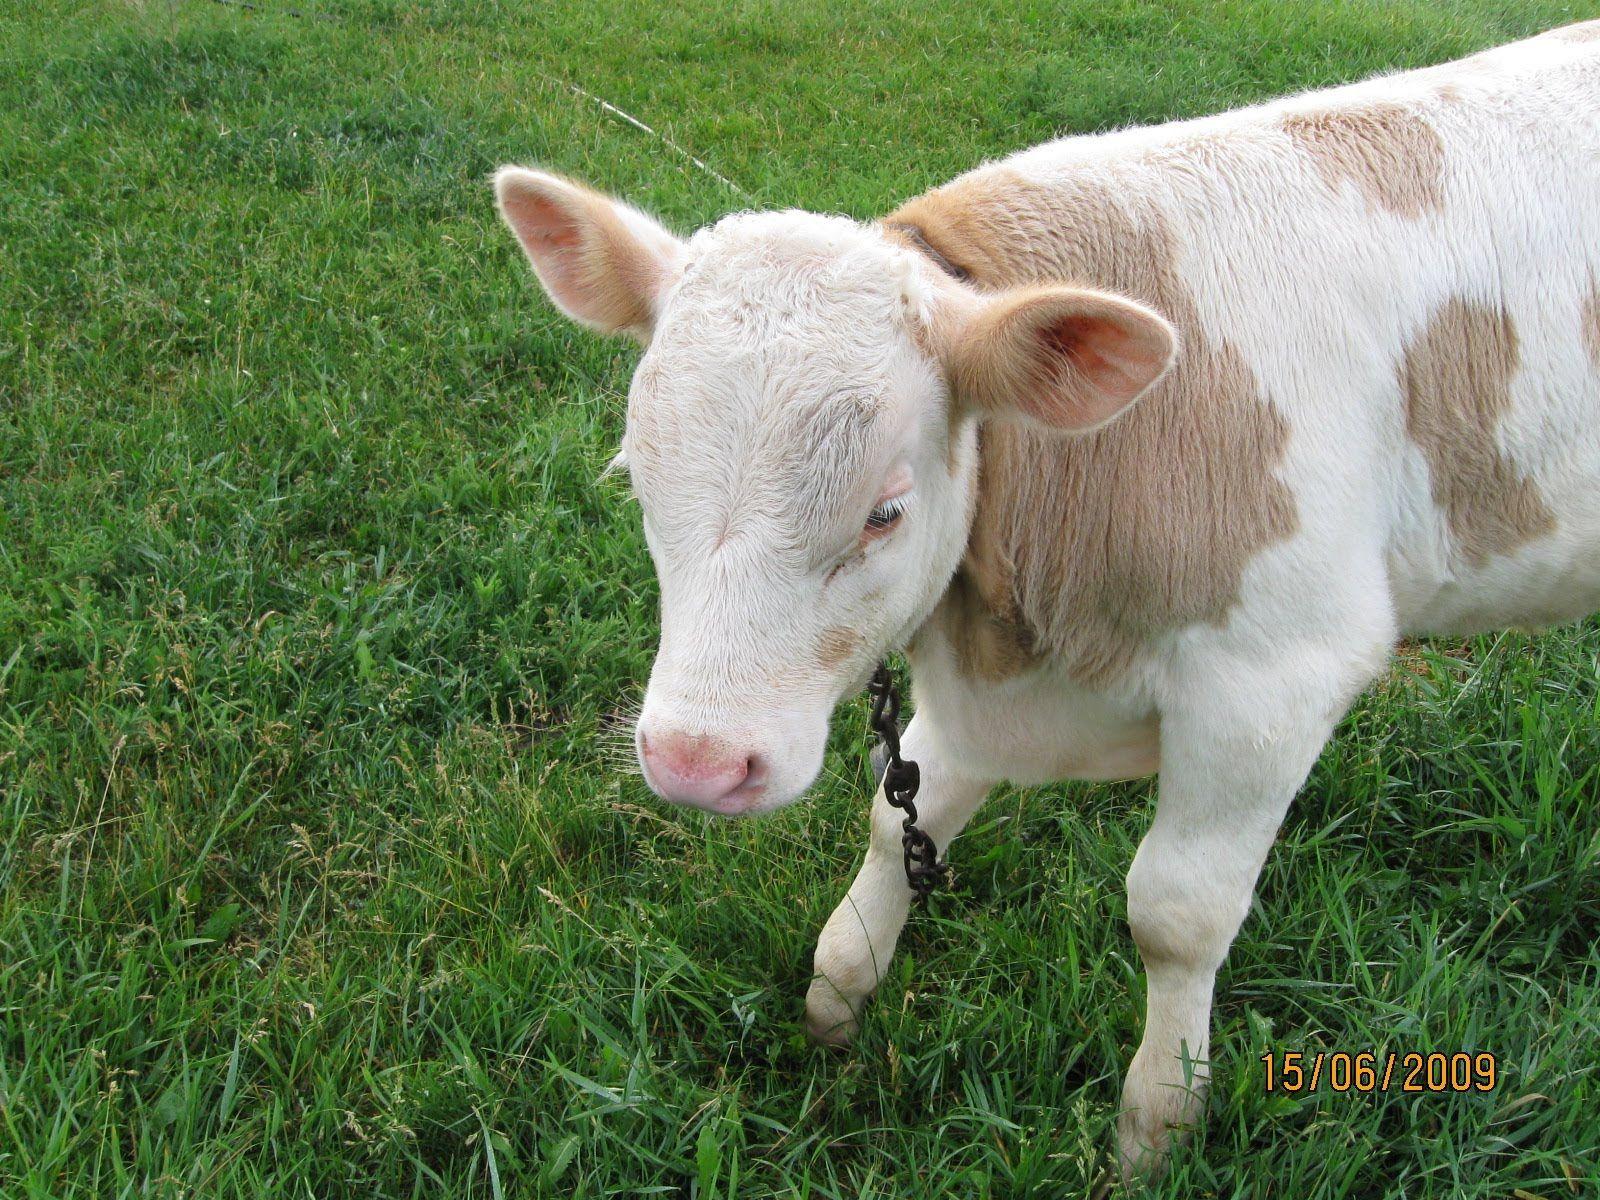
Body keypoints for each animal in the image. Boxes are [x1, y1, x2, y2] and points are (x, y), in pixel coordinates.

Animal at [493, 21, 1600, 1178]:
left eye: (884, 511)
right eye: (634, 476)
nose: (697, 764)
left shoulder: (1278, 676)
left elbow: (1177, 914)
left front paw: (1156, 1127)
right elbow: (899, 821)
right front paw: (838, 1000)